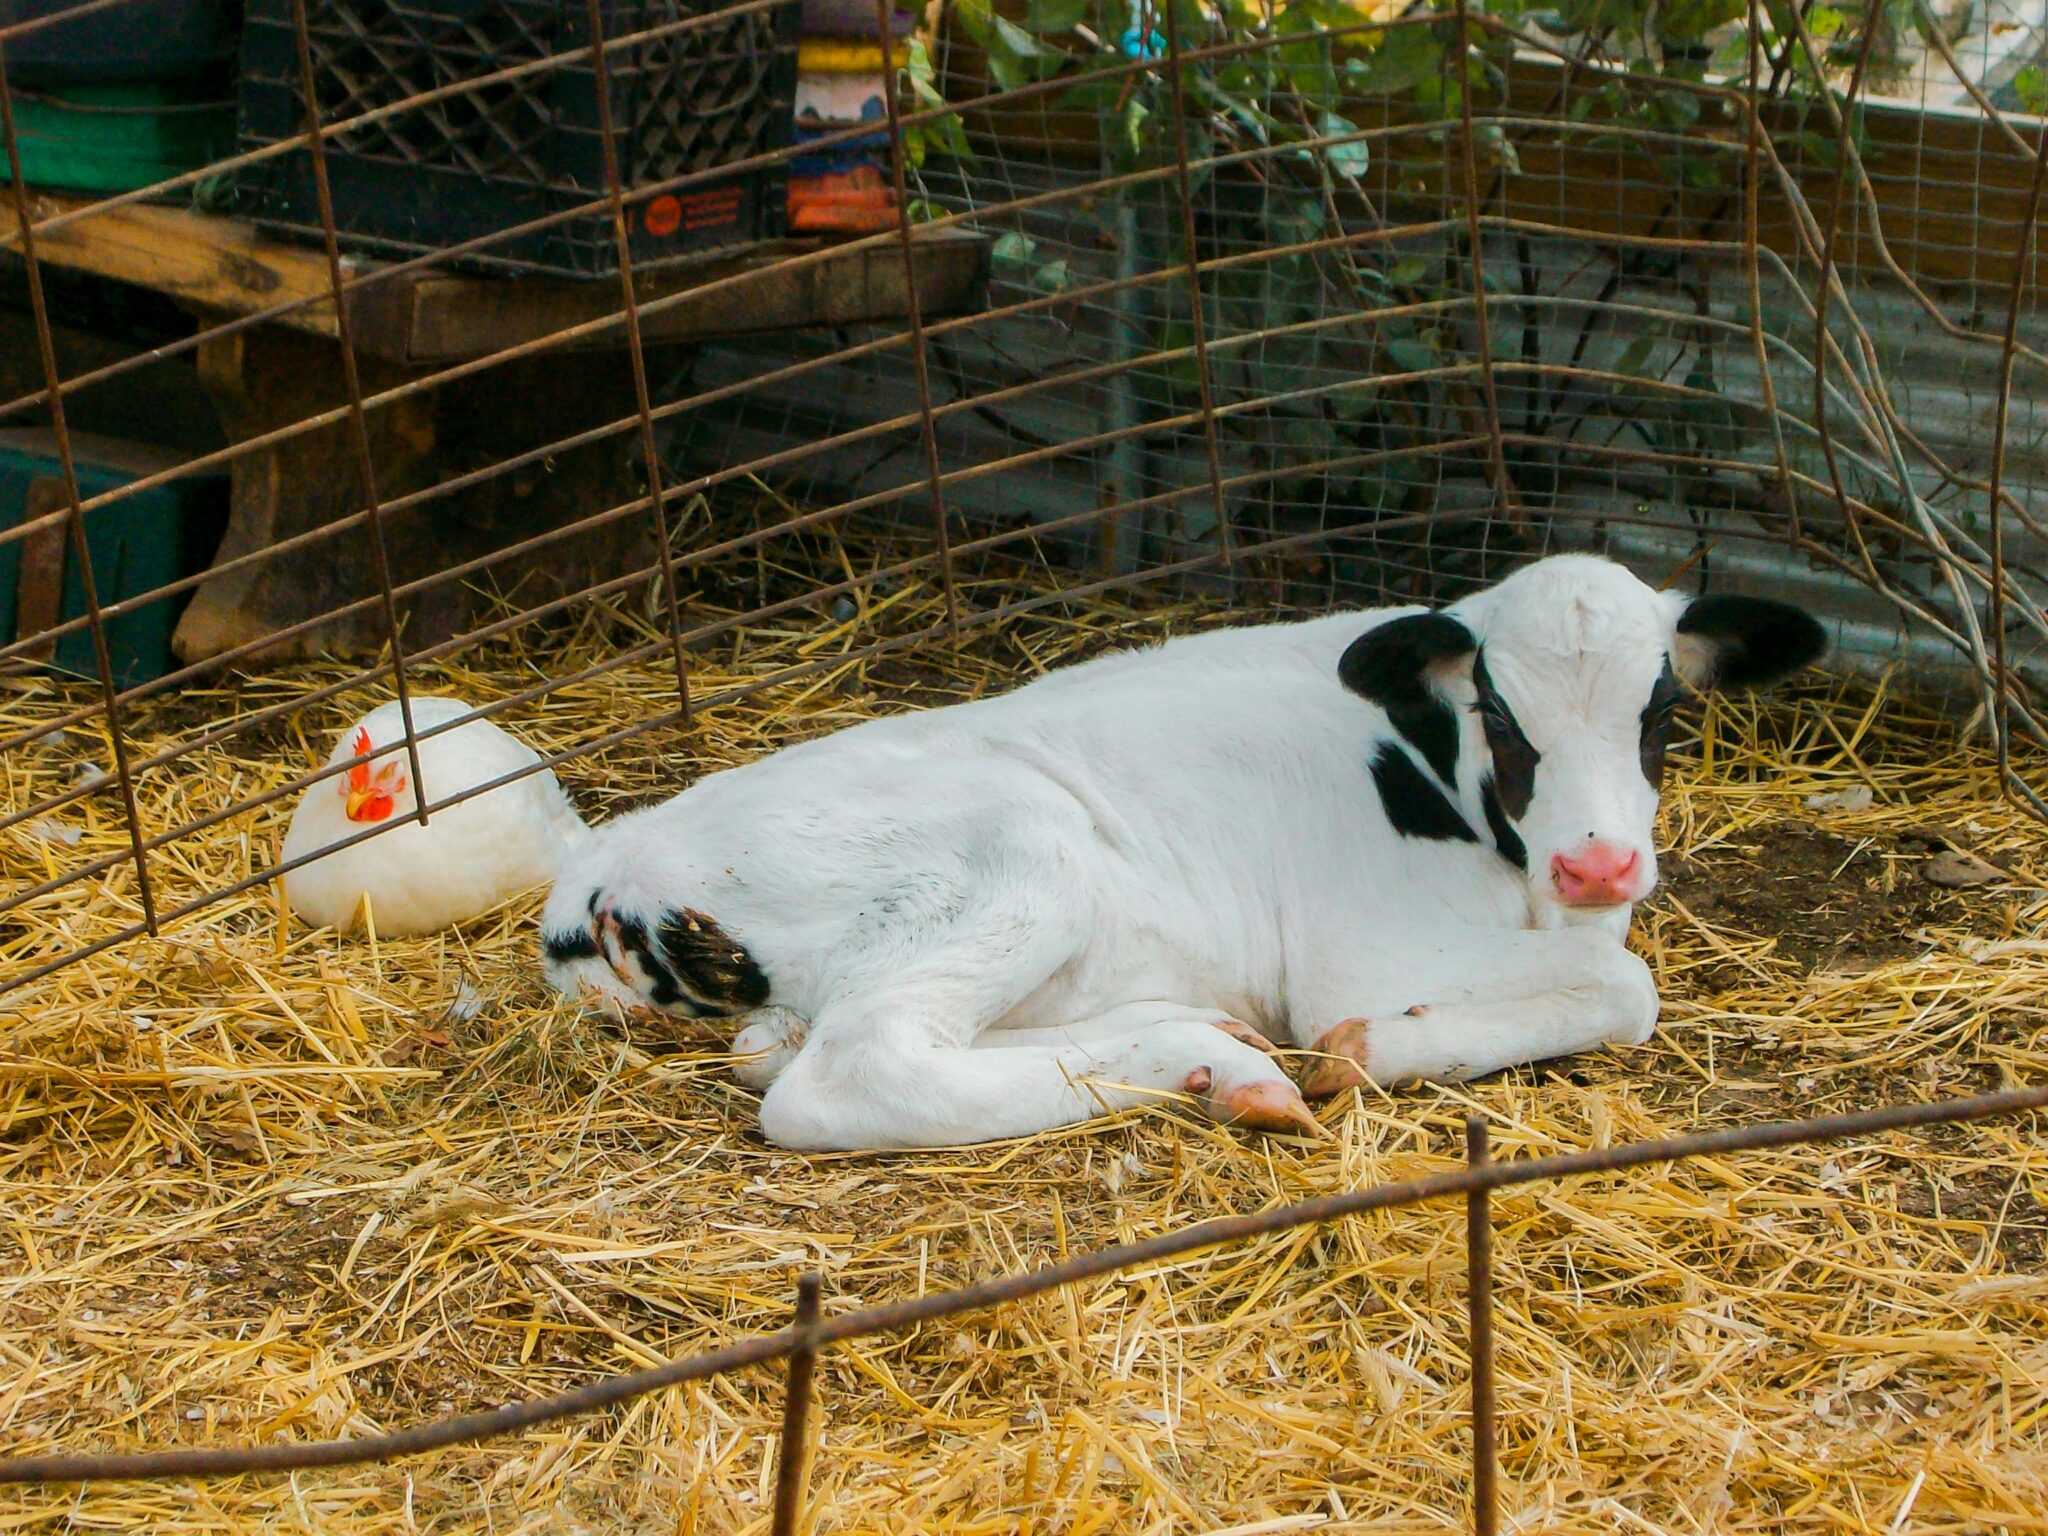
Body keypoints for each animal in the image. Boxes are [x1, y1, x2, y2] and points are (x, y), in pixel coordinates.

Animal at [541, 555, 1825, 1151]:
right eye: (1500, 713)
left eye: (1659, 708)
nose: (1597, 866)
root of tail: (601, 870)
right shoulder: (1364, 952)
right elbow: (1627, 985)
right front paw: (1371, 1049)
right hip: (1024, 853)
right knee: (850, 1070)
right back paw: (1217, 1064)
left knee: (785, 1048)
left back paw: (1204, 1051)